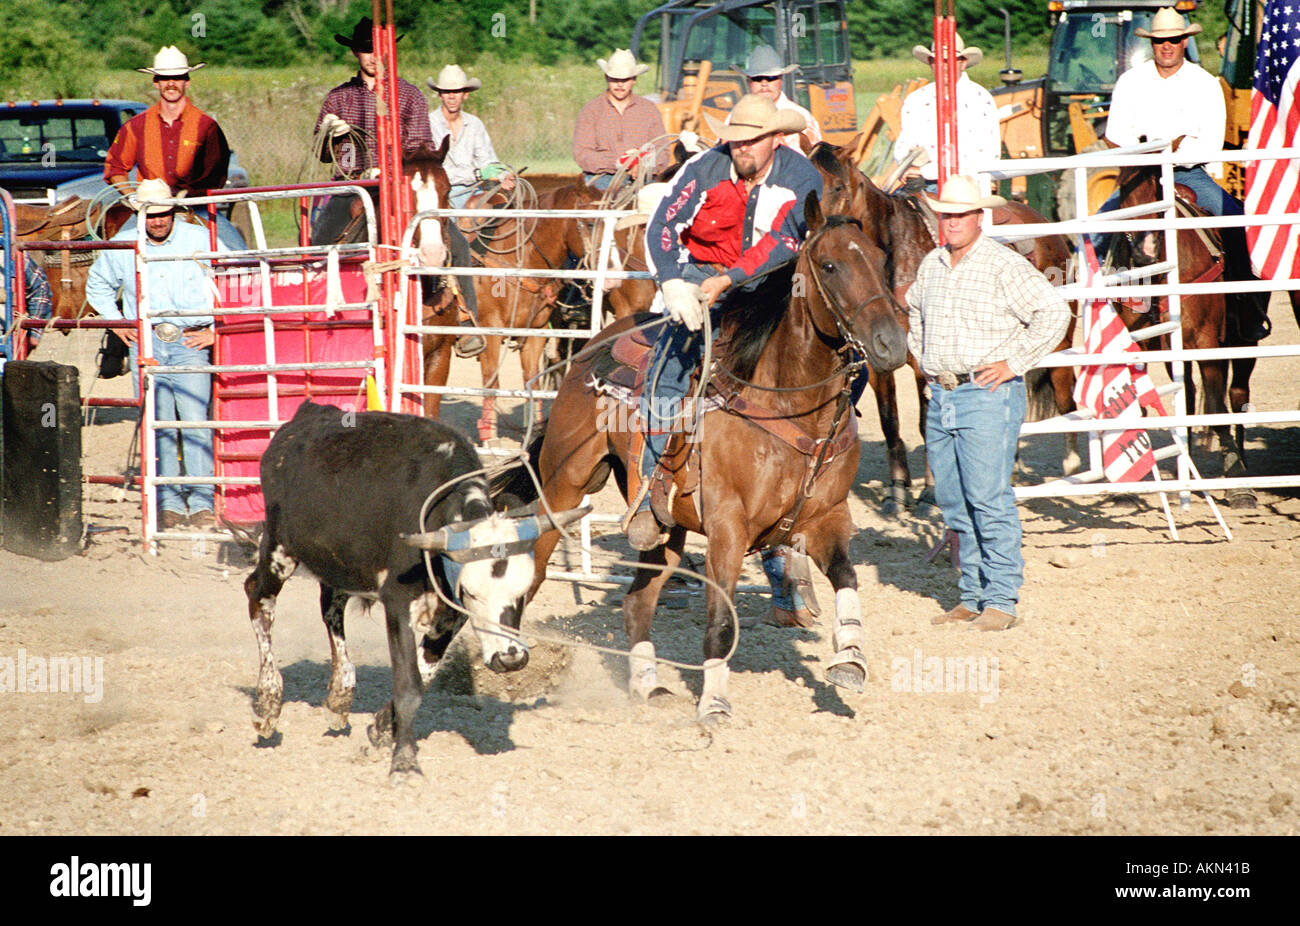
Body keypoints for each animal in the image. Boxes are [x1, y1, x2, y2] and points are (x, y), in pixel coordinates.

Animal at [494, 195, 909, 722]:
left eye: (880, 260)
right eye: (831, 265)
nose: (891, 344)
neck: (788, 406)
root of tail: (589, 351)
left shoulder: (827, 518)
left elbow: (847, 579)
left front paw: (851, 659)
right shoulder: (728, 527)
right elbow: (721, 623)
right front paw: (714, 702)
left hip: (664, 525)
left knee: (637, 601)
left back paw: (649, 686)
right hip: (566, 485)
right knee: (537, 566)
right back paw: (506, 655)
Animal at [811, 141, 1079, 513]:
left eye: (837, 186)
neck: (899, 253)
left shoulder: (923, 360)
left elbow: (928, 422)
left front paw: (930, 492)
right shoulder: (880, 361)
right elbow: (890, 421)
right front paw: (897, 490)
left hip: (1059, 343)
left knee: (1067, 393)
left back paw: (1072, 466)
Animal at [1109, 164, 1257, 508]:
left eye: (1155, 184)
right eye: (1122, 192)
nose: (1144, 252)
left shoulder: (1205, 340)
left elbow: (1216, 405)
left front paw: (1237, 480)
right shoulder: (1137, 340)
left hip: (1242, 341)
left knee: (1236, 393)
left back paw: (1240, 467)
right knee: (1187, 395)